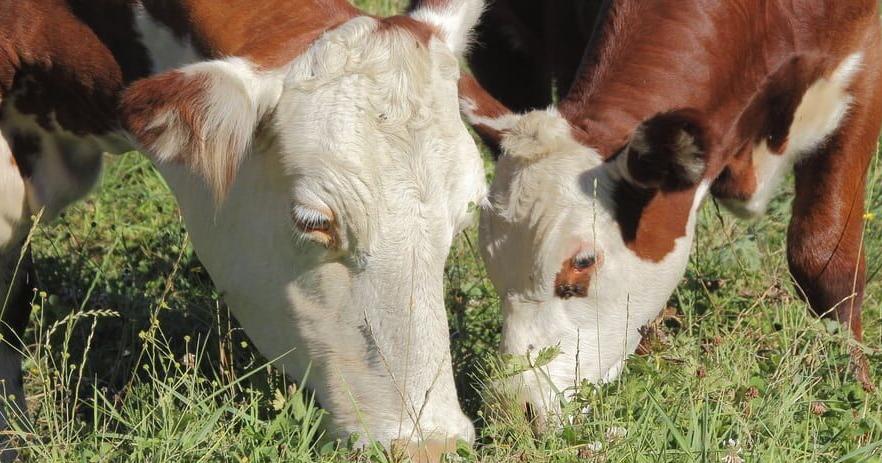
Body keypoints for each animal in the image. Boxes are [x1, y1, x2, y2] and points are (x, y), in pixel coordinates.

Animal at [459, 0, 882, 424]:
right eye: (493, 265)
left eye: (583, 262)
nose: (514, 406)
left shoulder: (864, 65)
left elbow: (824, 258)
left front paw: (852, 385)